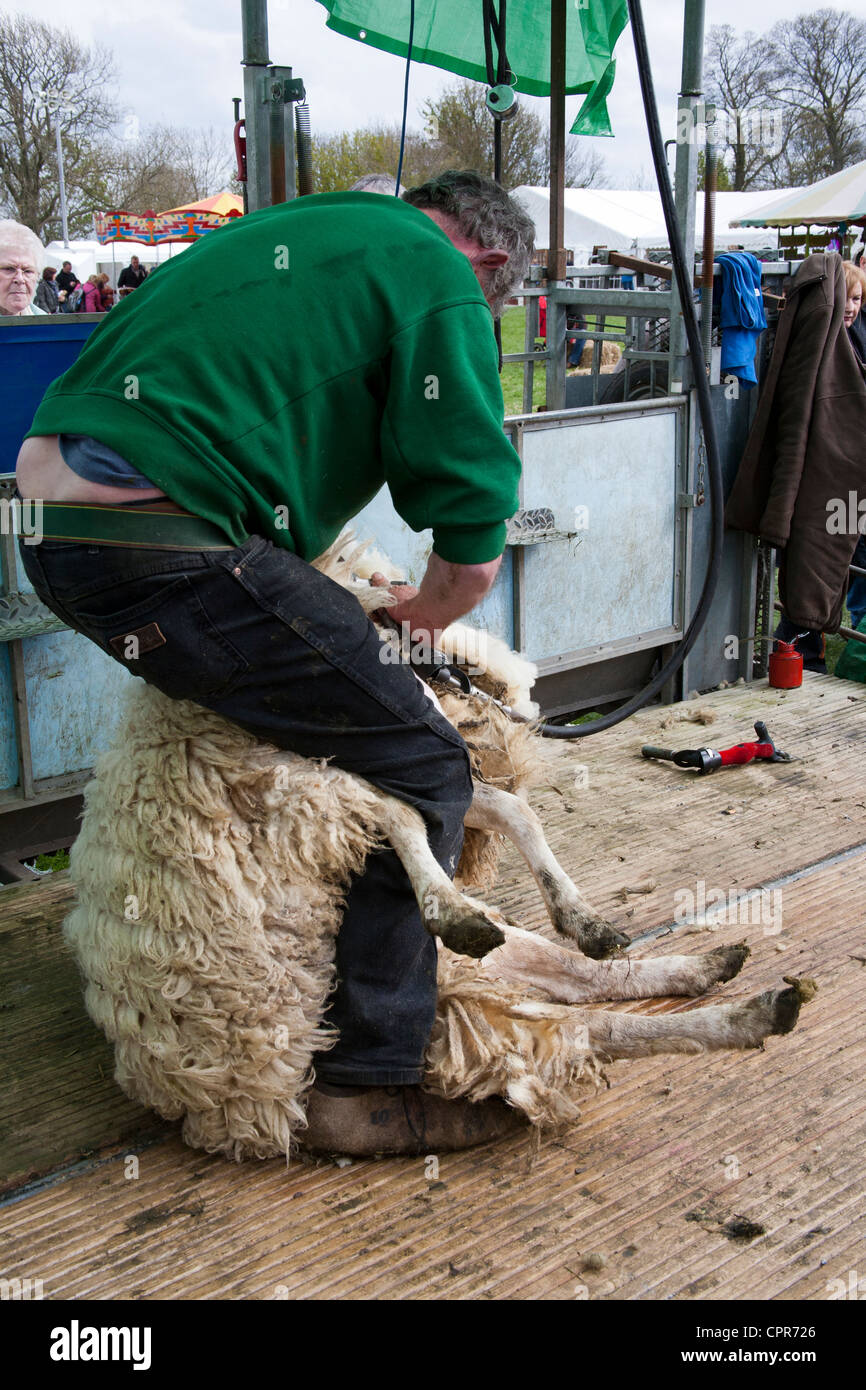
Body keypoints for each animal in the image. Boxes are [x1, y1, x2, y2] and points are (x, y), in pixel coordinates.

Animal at [62, 538, 815, 1159]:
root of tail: (223, 1112)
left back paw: (696, 968)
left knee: (581, 982)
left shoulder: (386, 775)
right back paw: (749, 1013)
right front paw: (446, 904)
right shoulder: (309, 781)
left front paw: (573, 910)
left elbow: (510, 811)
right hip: (427, 1013)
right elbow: (407, 816)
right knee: (581, 1026)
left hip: (463, 982)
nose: (518, 704)